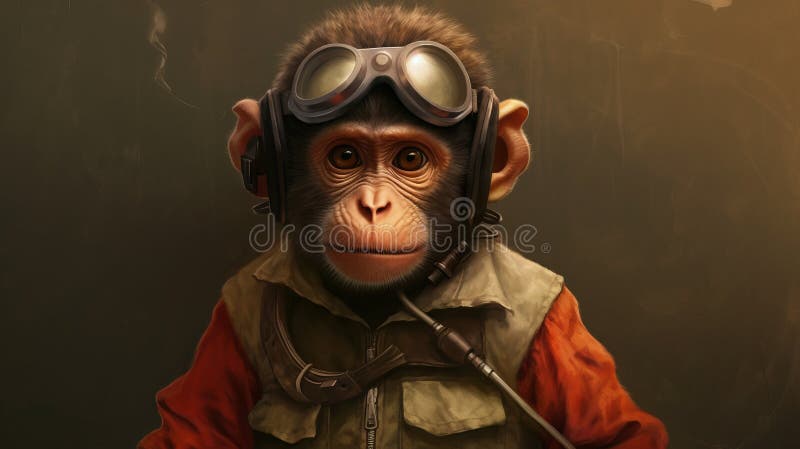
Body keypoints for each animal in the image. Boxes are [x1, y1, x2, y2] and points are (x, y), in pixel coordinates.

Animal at [140, 5, 668, 449]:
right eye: (345, 156)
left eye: (410, 159)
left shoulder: (558, 322)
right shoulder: (227, 317)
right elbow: (188, 423)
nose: (375, 205)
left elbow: (625, 431)